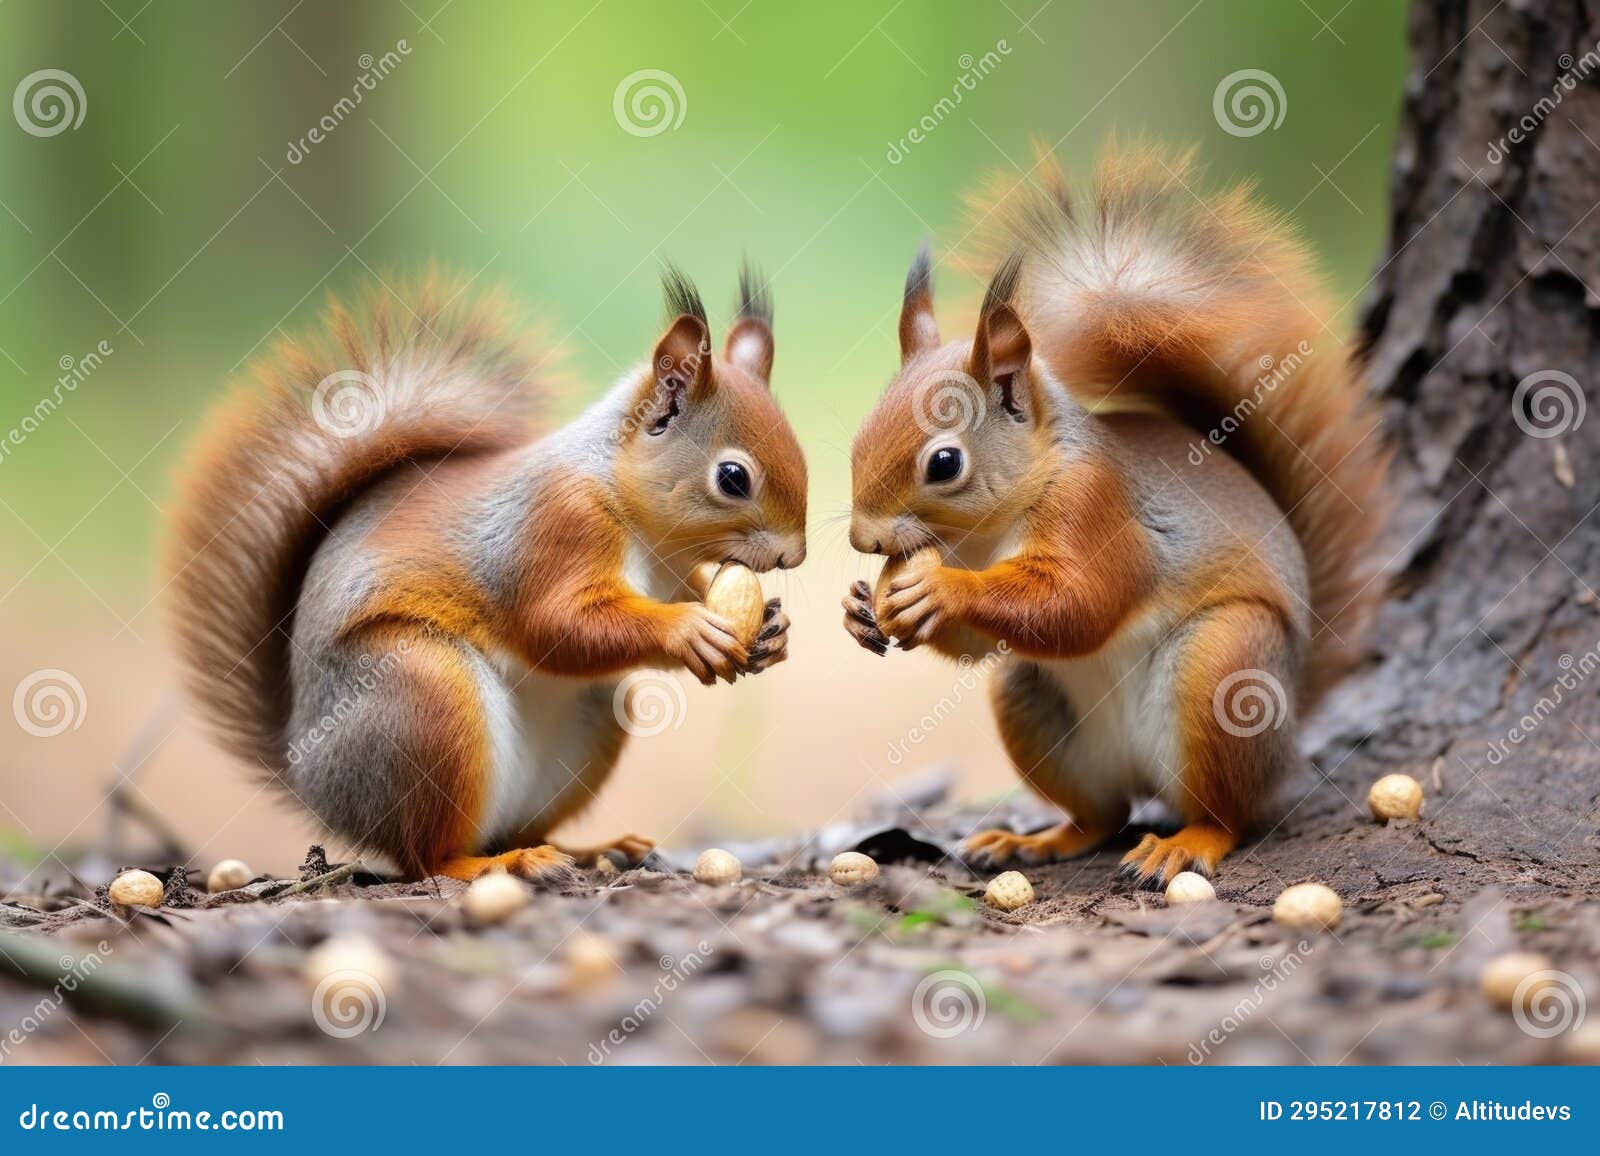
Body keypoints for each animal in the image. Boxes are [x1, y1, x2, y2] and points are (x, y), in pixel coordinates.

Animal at [165, 266, 807, 882]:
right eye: (732, 477)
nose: (794, 557)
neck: (645, 530)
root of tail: (308, 776)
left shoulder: (673, 573)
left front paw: (773, 632)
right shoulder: (557, 528)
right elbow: (556, 626)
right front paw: (689, 631)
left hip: (585, 725)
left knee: (516, 826)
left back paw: (583, 850)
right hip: (421, 694)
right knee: (426, 857)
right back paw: (495, 864)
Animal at [843, 146, 1389, 884]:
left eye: (945, 463)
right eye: (859, 436)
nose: (860, 537)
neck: (987, 535)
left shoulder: (1097, 505)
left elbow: (1080, 602)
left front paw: (938, 589)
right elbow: (982, 644)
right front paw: (863, 609)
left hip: (1225, 667)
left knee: (1228, 812)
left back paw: (1188, 843)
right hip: (1032, 704)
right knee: (1101, 815)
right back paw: (1037, 840)